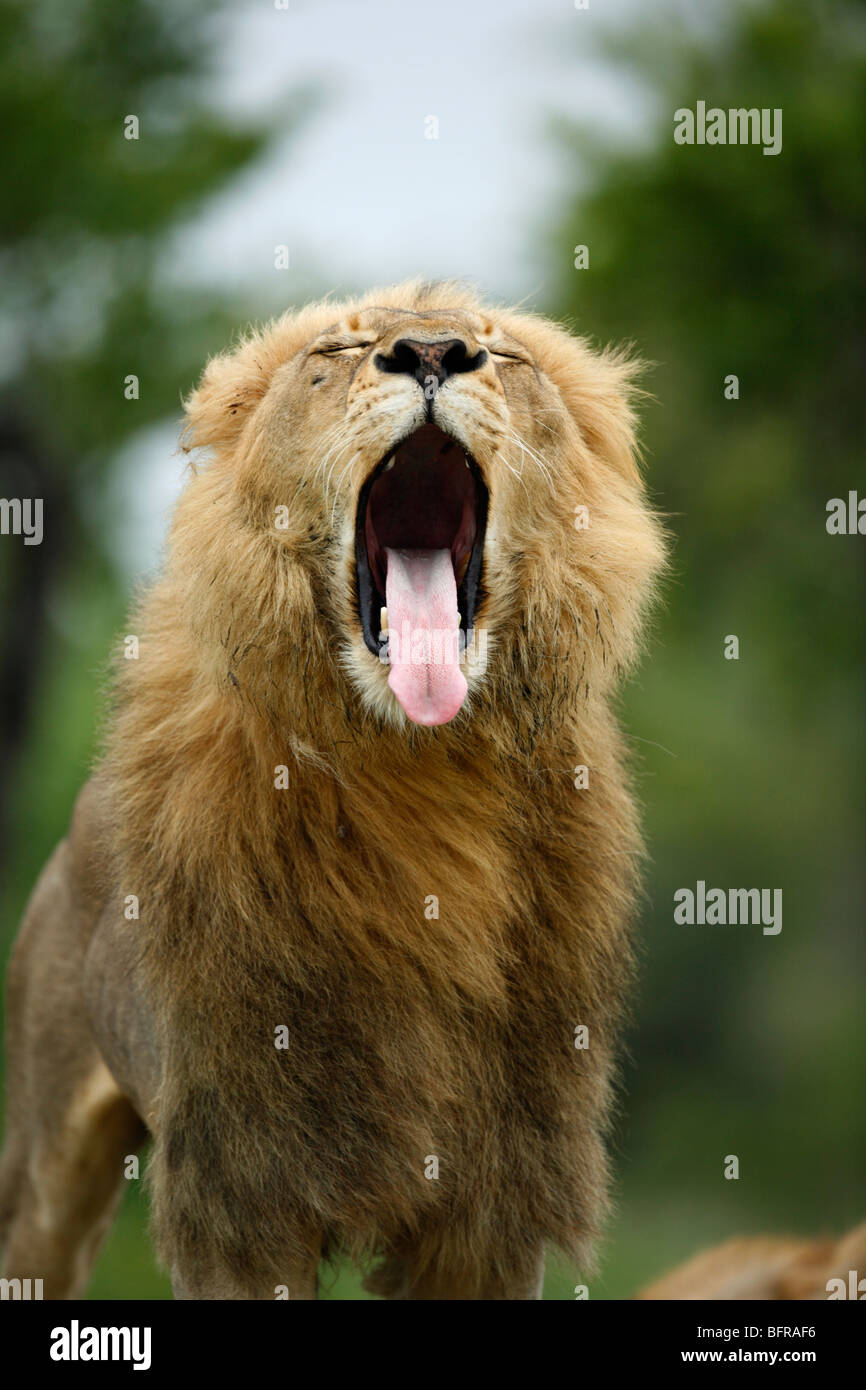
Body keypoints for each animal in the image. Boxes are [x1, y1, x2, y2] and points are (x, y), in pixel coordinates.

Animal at [0, 280, 665, 1299]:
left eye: (502, 354)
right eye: (337, 352)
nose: (431, 353)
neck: (420, 775)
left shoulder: (496, 1202)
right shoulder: (242, 1191)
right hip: (45, 1170)